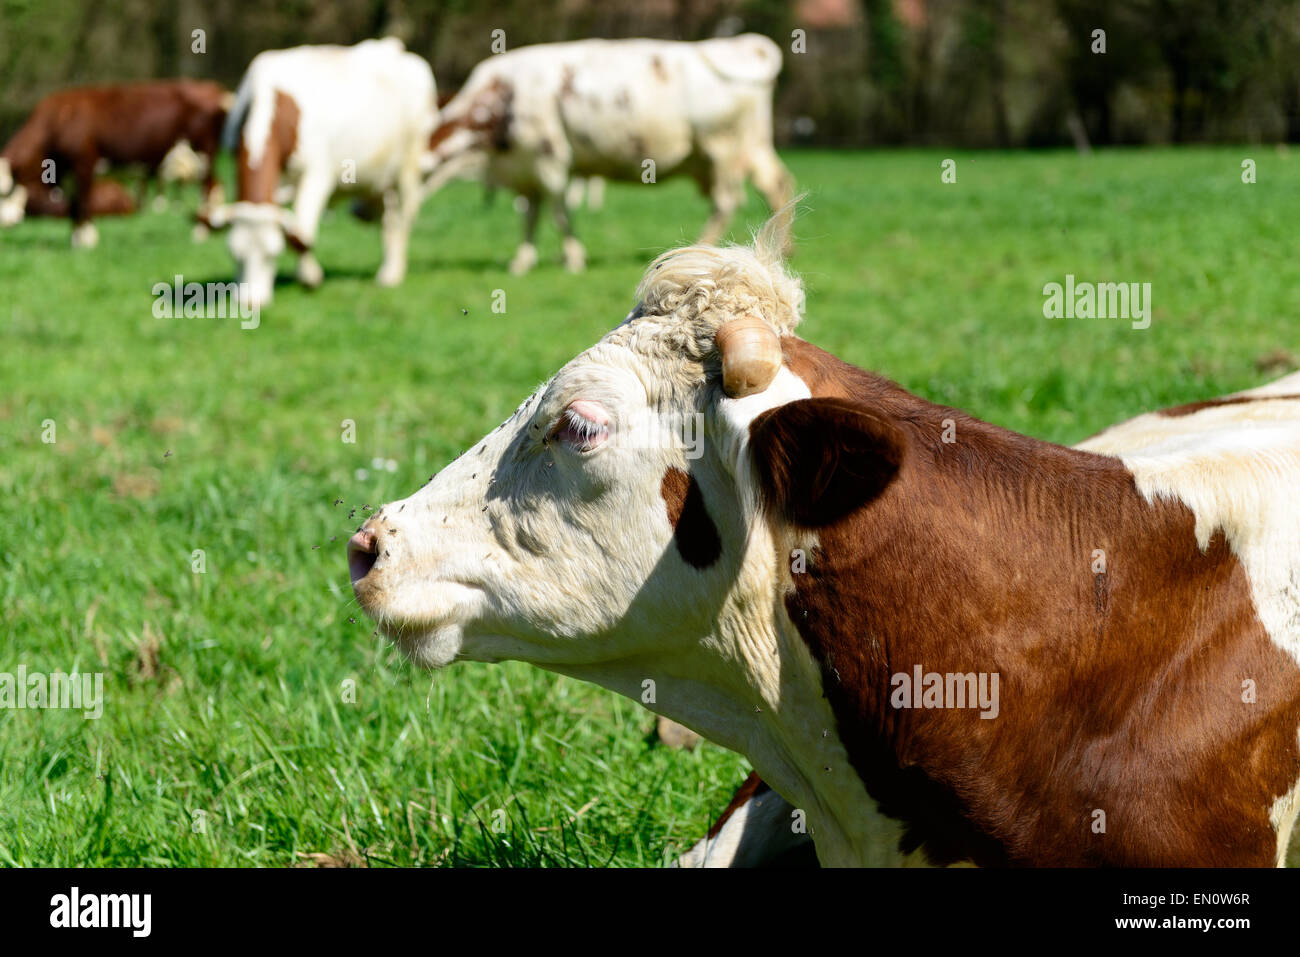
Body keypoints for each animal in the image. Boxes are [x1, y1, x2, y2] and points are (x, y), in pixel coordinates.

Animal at [0, 80, 229, 246]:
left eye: (4, 192)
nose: (6, 223)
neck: (58, 119)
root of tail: (212, 88)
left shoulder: (84, 164)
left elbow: (83, 203)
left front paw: (87, 240)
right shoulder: (66, 172)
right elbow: (74, 205)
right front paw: (76, 239)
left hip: (203, 154)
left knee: (208, 189)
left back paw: (200, 232)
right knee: (215, 185)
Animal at [201, 38, 437, 309]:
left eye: (273, 254)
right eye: (234, 253)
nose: (250, 303)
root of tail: (395, 48)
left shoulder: (317, 175)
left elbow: (303, 227)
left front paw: (310, 278)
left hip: (409, 166)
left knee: (403, 218)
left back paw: (392, 275)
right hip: (377, 179)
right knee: (387, 220)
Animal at [421, 34, 794, 275]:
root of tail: (745, 44)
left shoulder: (550, 159)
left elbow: (559, 213)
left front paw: (573, 259)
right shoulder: (524, 168)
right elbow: (529, 216)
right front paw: (522, 262)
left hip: (722, 151)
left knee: (726, 202)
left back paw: (700, 249)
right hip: (754, 147)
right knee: (778, 186)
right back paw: (782, 249)